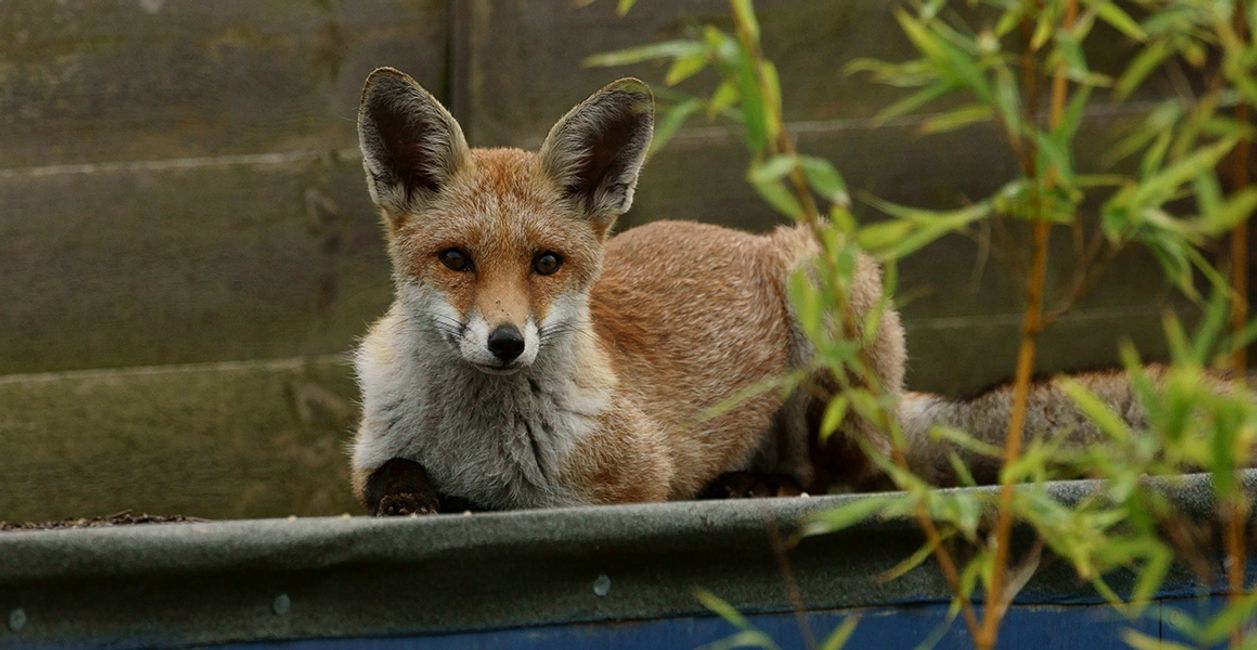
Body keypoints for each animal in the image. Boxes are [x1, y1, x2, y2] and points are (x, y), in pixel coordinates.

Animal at [348, 67, 1168, 515]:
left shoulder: (629, 483)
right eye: (456, 259)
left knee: (840, 480)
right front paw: (413, 495)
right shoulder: (372, 454)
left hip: (822, 295)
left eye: (546, 263)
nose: (507, 342)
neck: (479, 444)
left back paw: (750, 485)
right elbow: (388, 476)